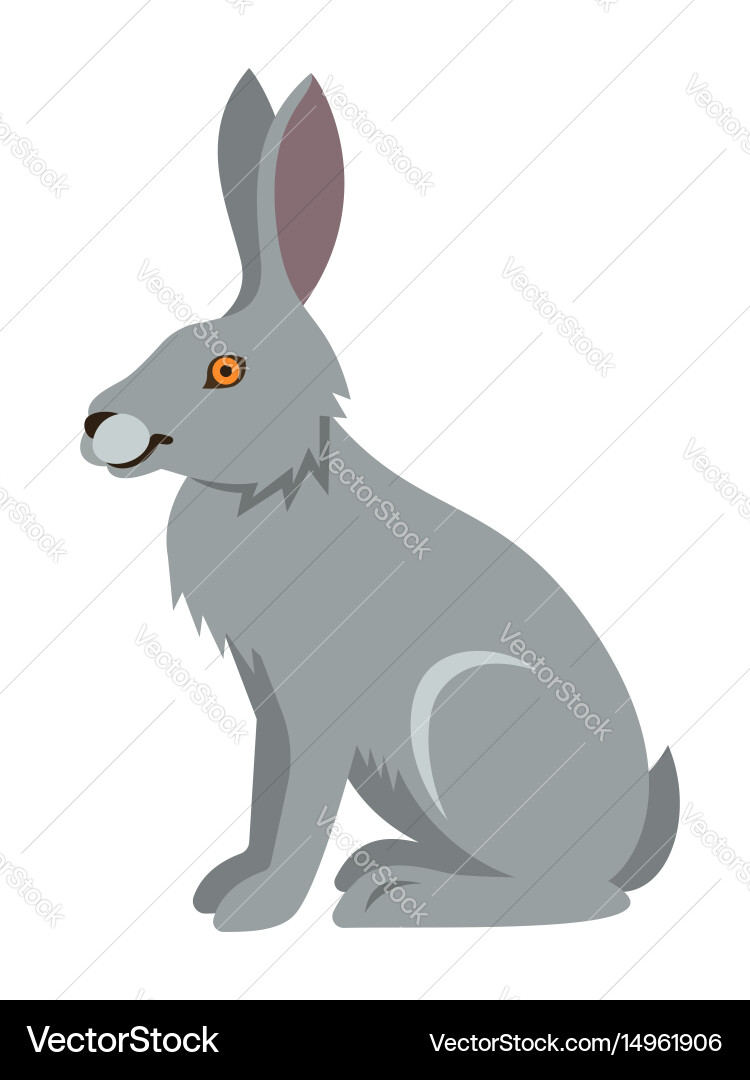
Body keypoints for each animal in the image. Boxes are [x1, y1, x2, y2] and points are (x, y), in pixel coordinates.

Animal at [80, 69, 678, 930]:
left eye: (225, 371)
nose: (98, 423)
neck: (282, 478)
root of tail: (630, 846)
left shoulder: (319, 702)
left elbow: (299, 805)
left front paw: (254, 912)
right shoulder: (274, 707)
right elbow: (269, 795)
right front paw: (227, 886)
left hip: (460, 714)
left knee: (579, 895)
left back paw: (398, 900)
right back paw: (388, 869)